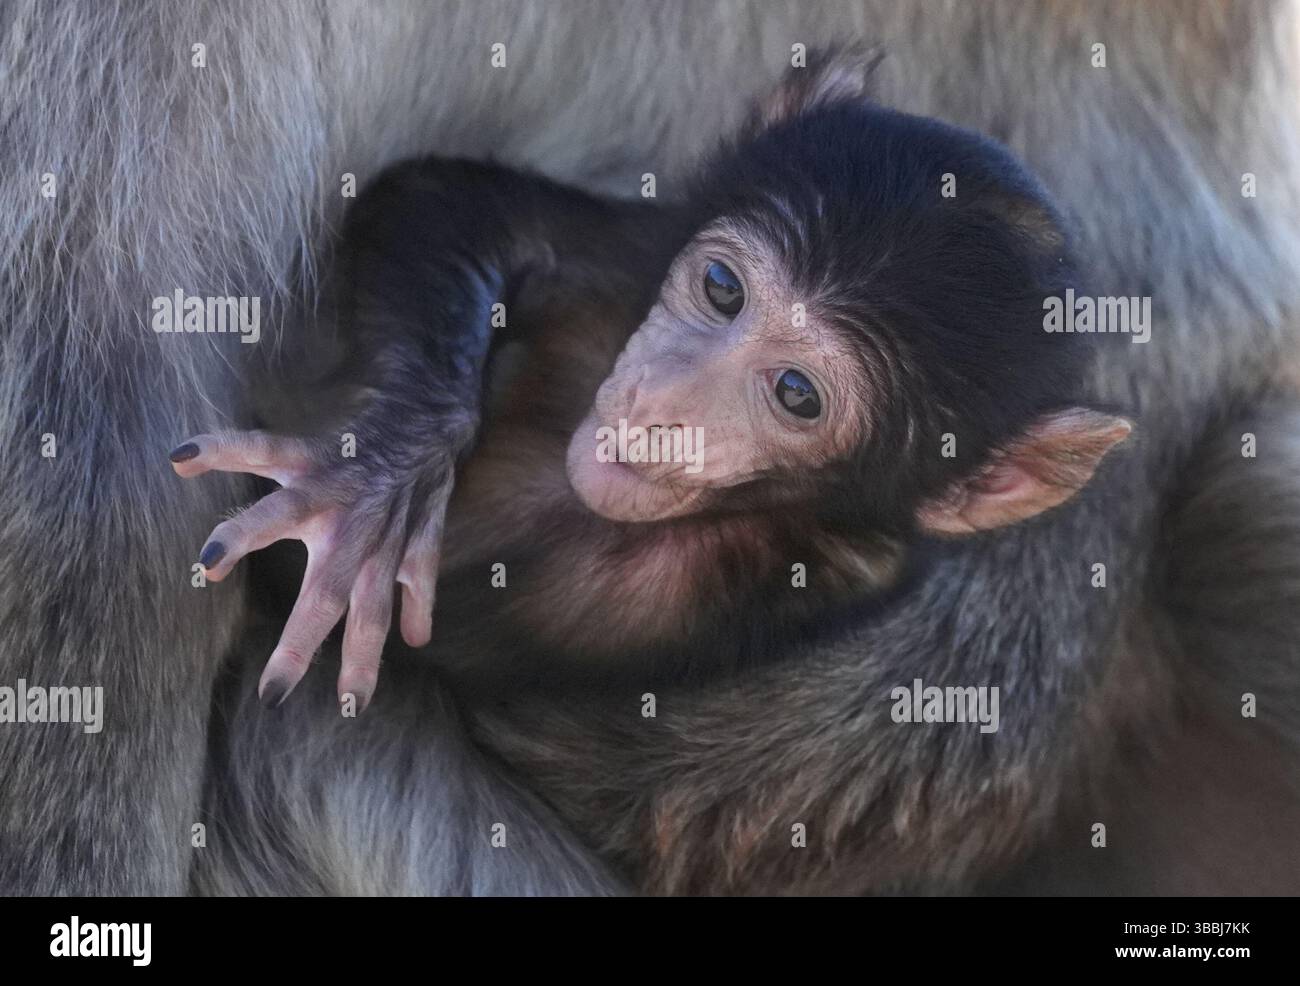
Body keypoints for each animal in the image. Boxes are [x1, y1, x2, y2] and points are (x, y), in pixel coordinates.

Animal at [170, 77, 1133, 714]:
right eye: (721, 288)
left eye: (797, 394)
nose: (659, 398)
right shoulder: (630, 252)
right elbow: (448, 200)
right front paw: (386, 468)